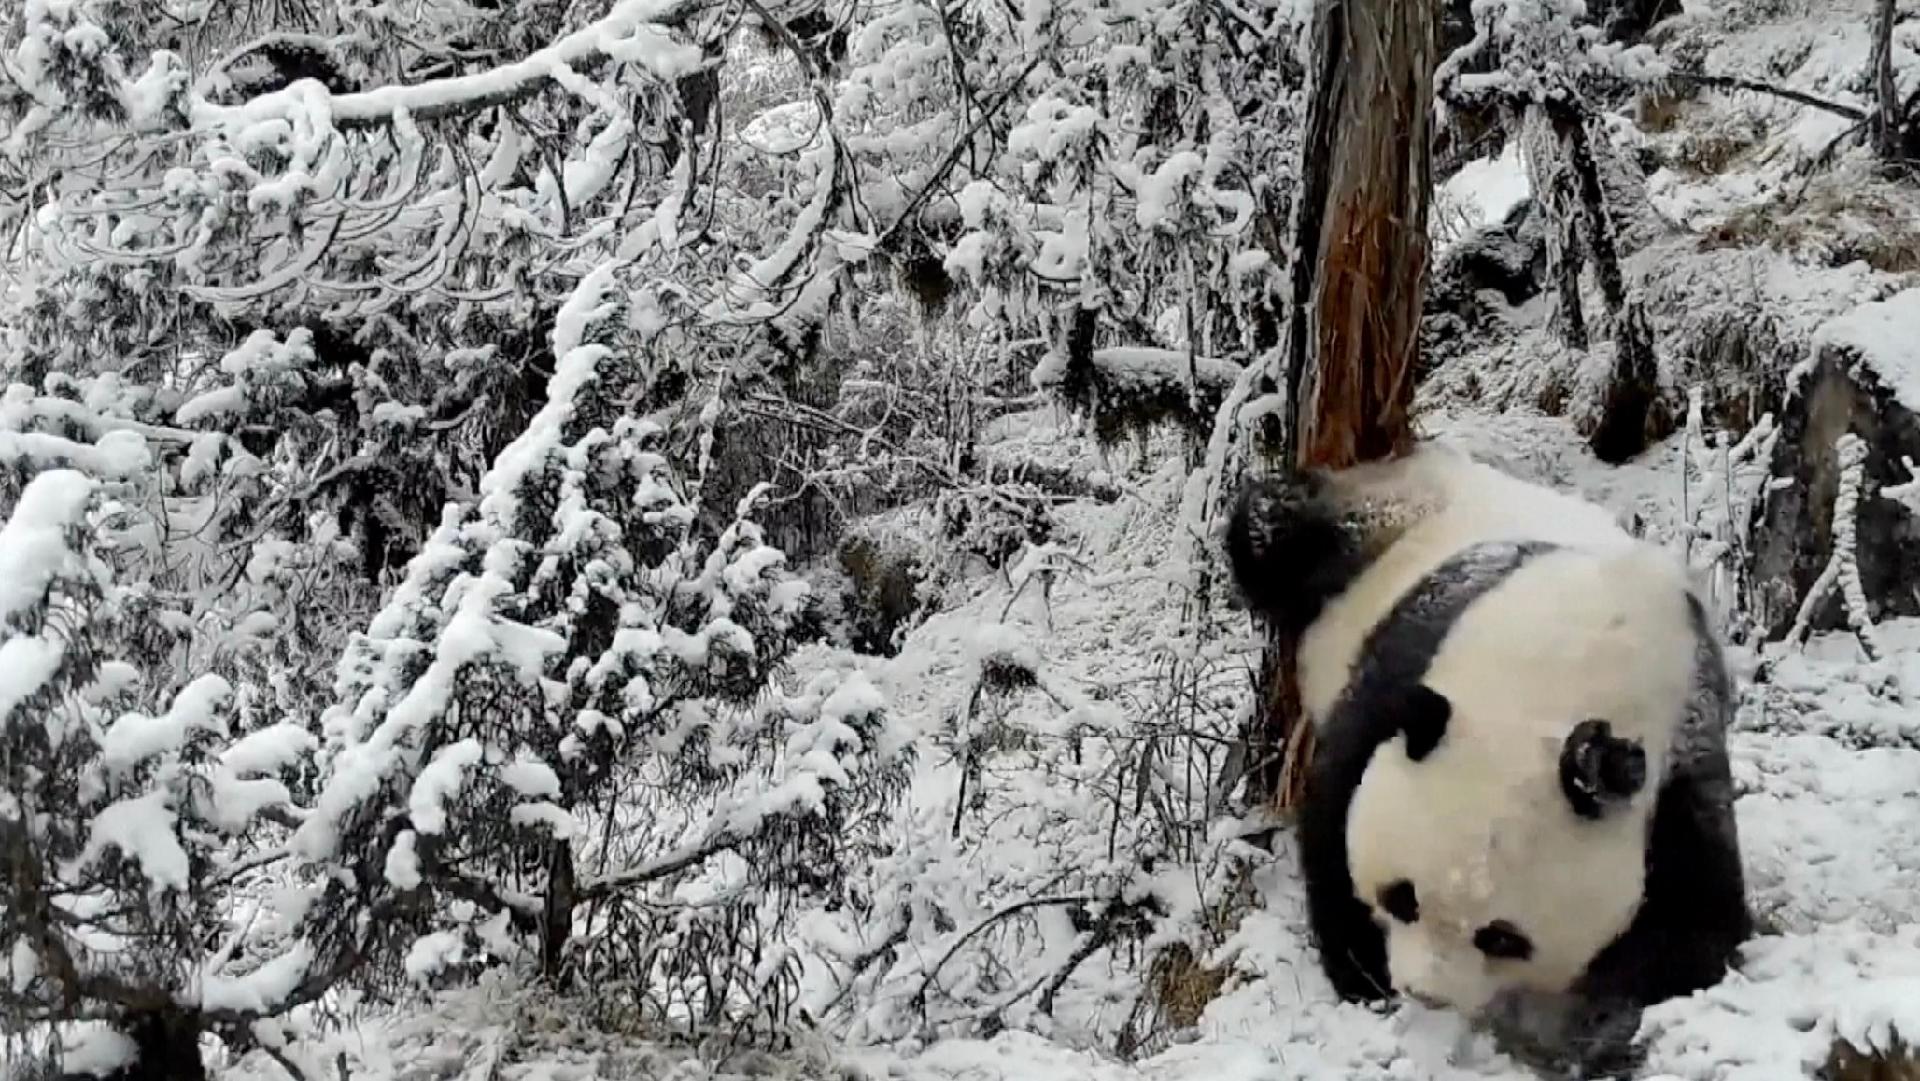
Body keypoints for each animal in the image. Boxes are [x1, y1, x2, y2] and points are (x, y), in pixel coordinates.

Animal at [1224, 442, 1752, 1071]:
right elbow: (1333, 820)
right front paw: (1362, 976)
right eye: (1402, 896)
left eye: (1502, 938)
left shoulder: (1680, 761)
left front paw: (1596, 1032)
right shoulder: (1409, 668)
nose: (1424, 993)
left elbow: (1695, 927)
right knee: (1271, 528)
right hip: (1371, 518)